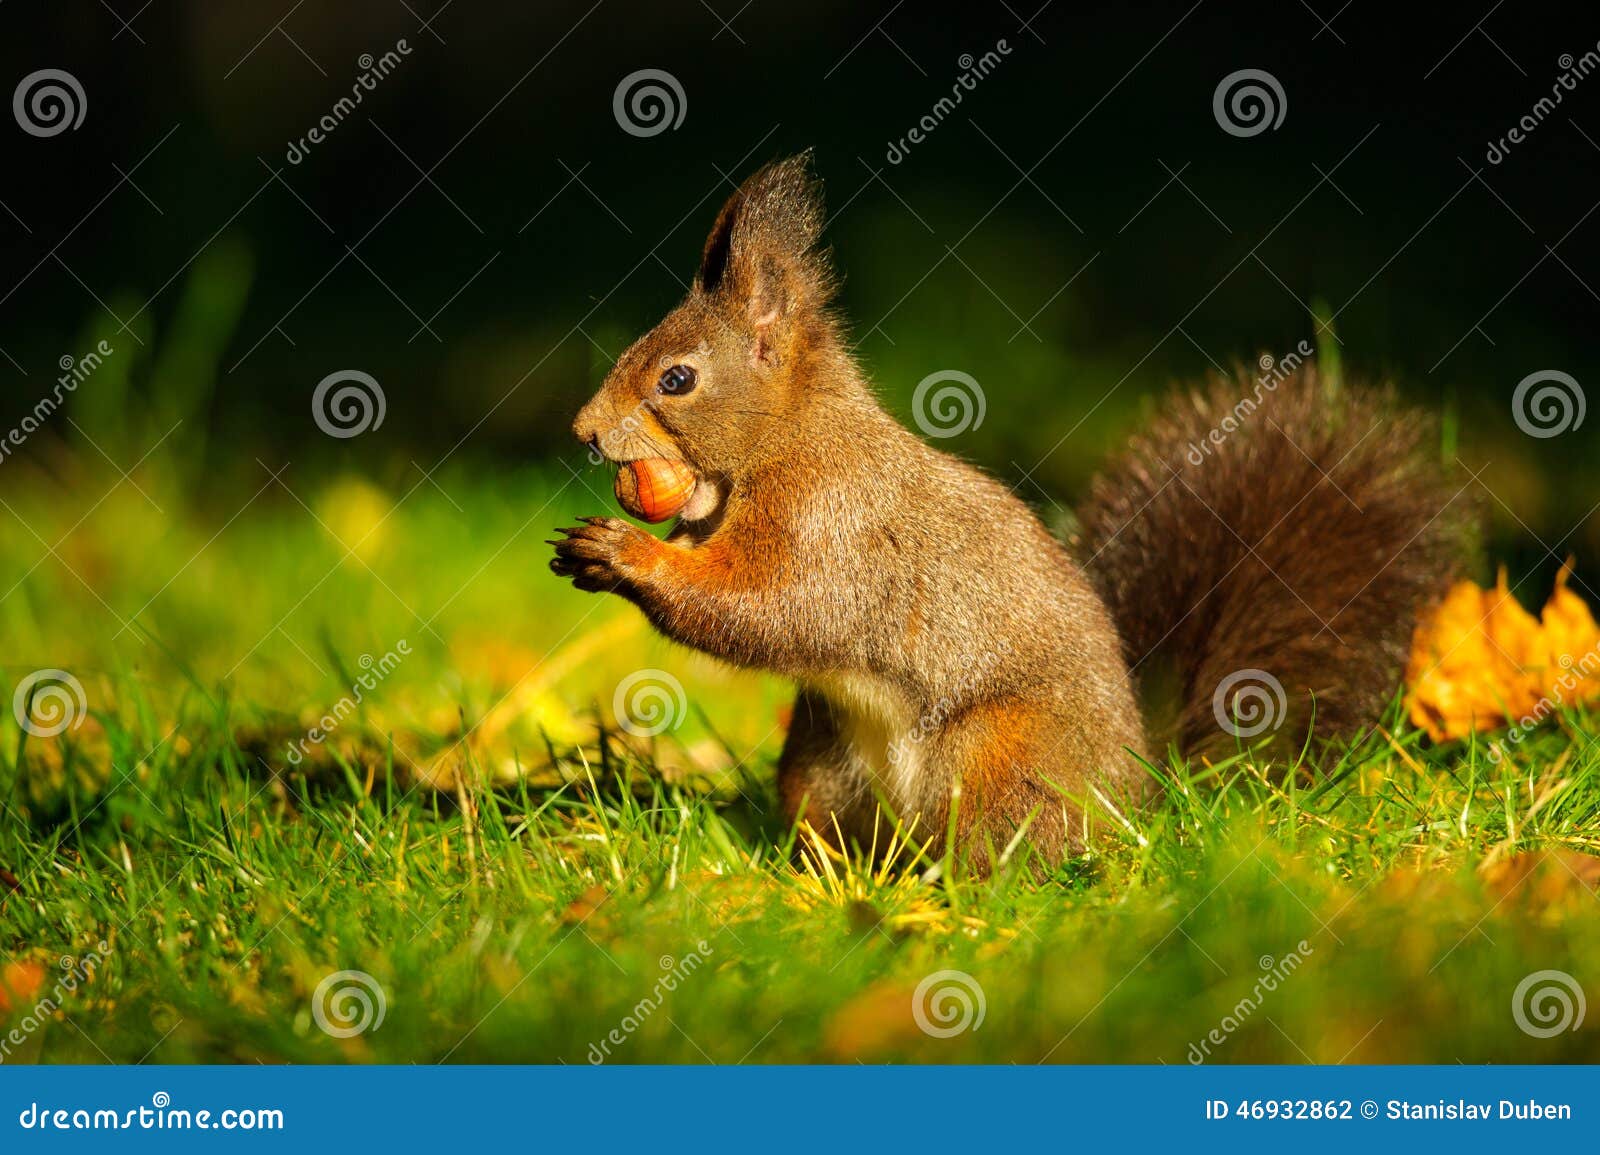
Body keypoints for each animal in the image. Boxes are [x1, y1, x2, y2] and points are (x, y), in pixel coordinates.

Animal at [551, 153, 1471, 871]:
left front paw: (624, 554)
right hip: (823, 759)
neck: (786, 439)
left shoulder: (829, 520)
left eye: (676, 378)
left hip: (1001, 755)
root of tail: (1141, 788)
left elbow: (768, 606)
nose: (585, 430)